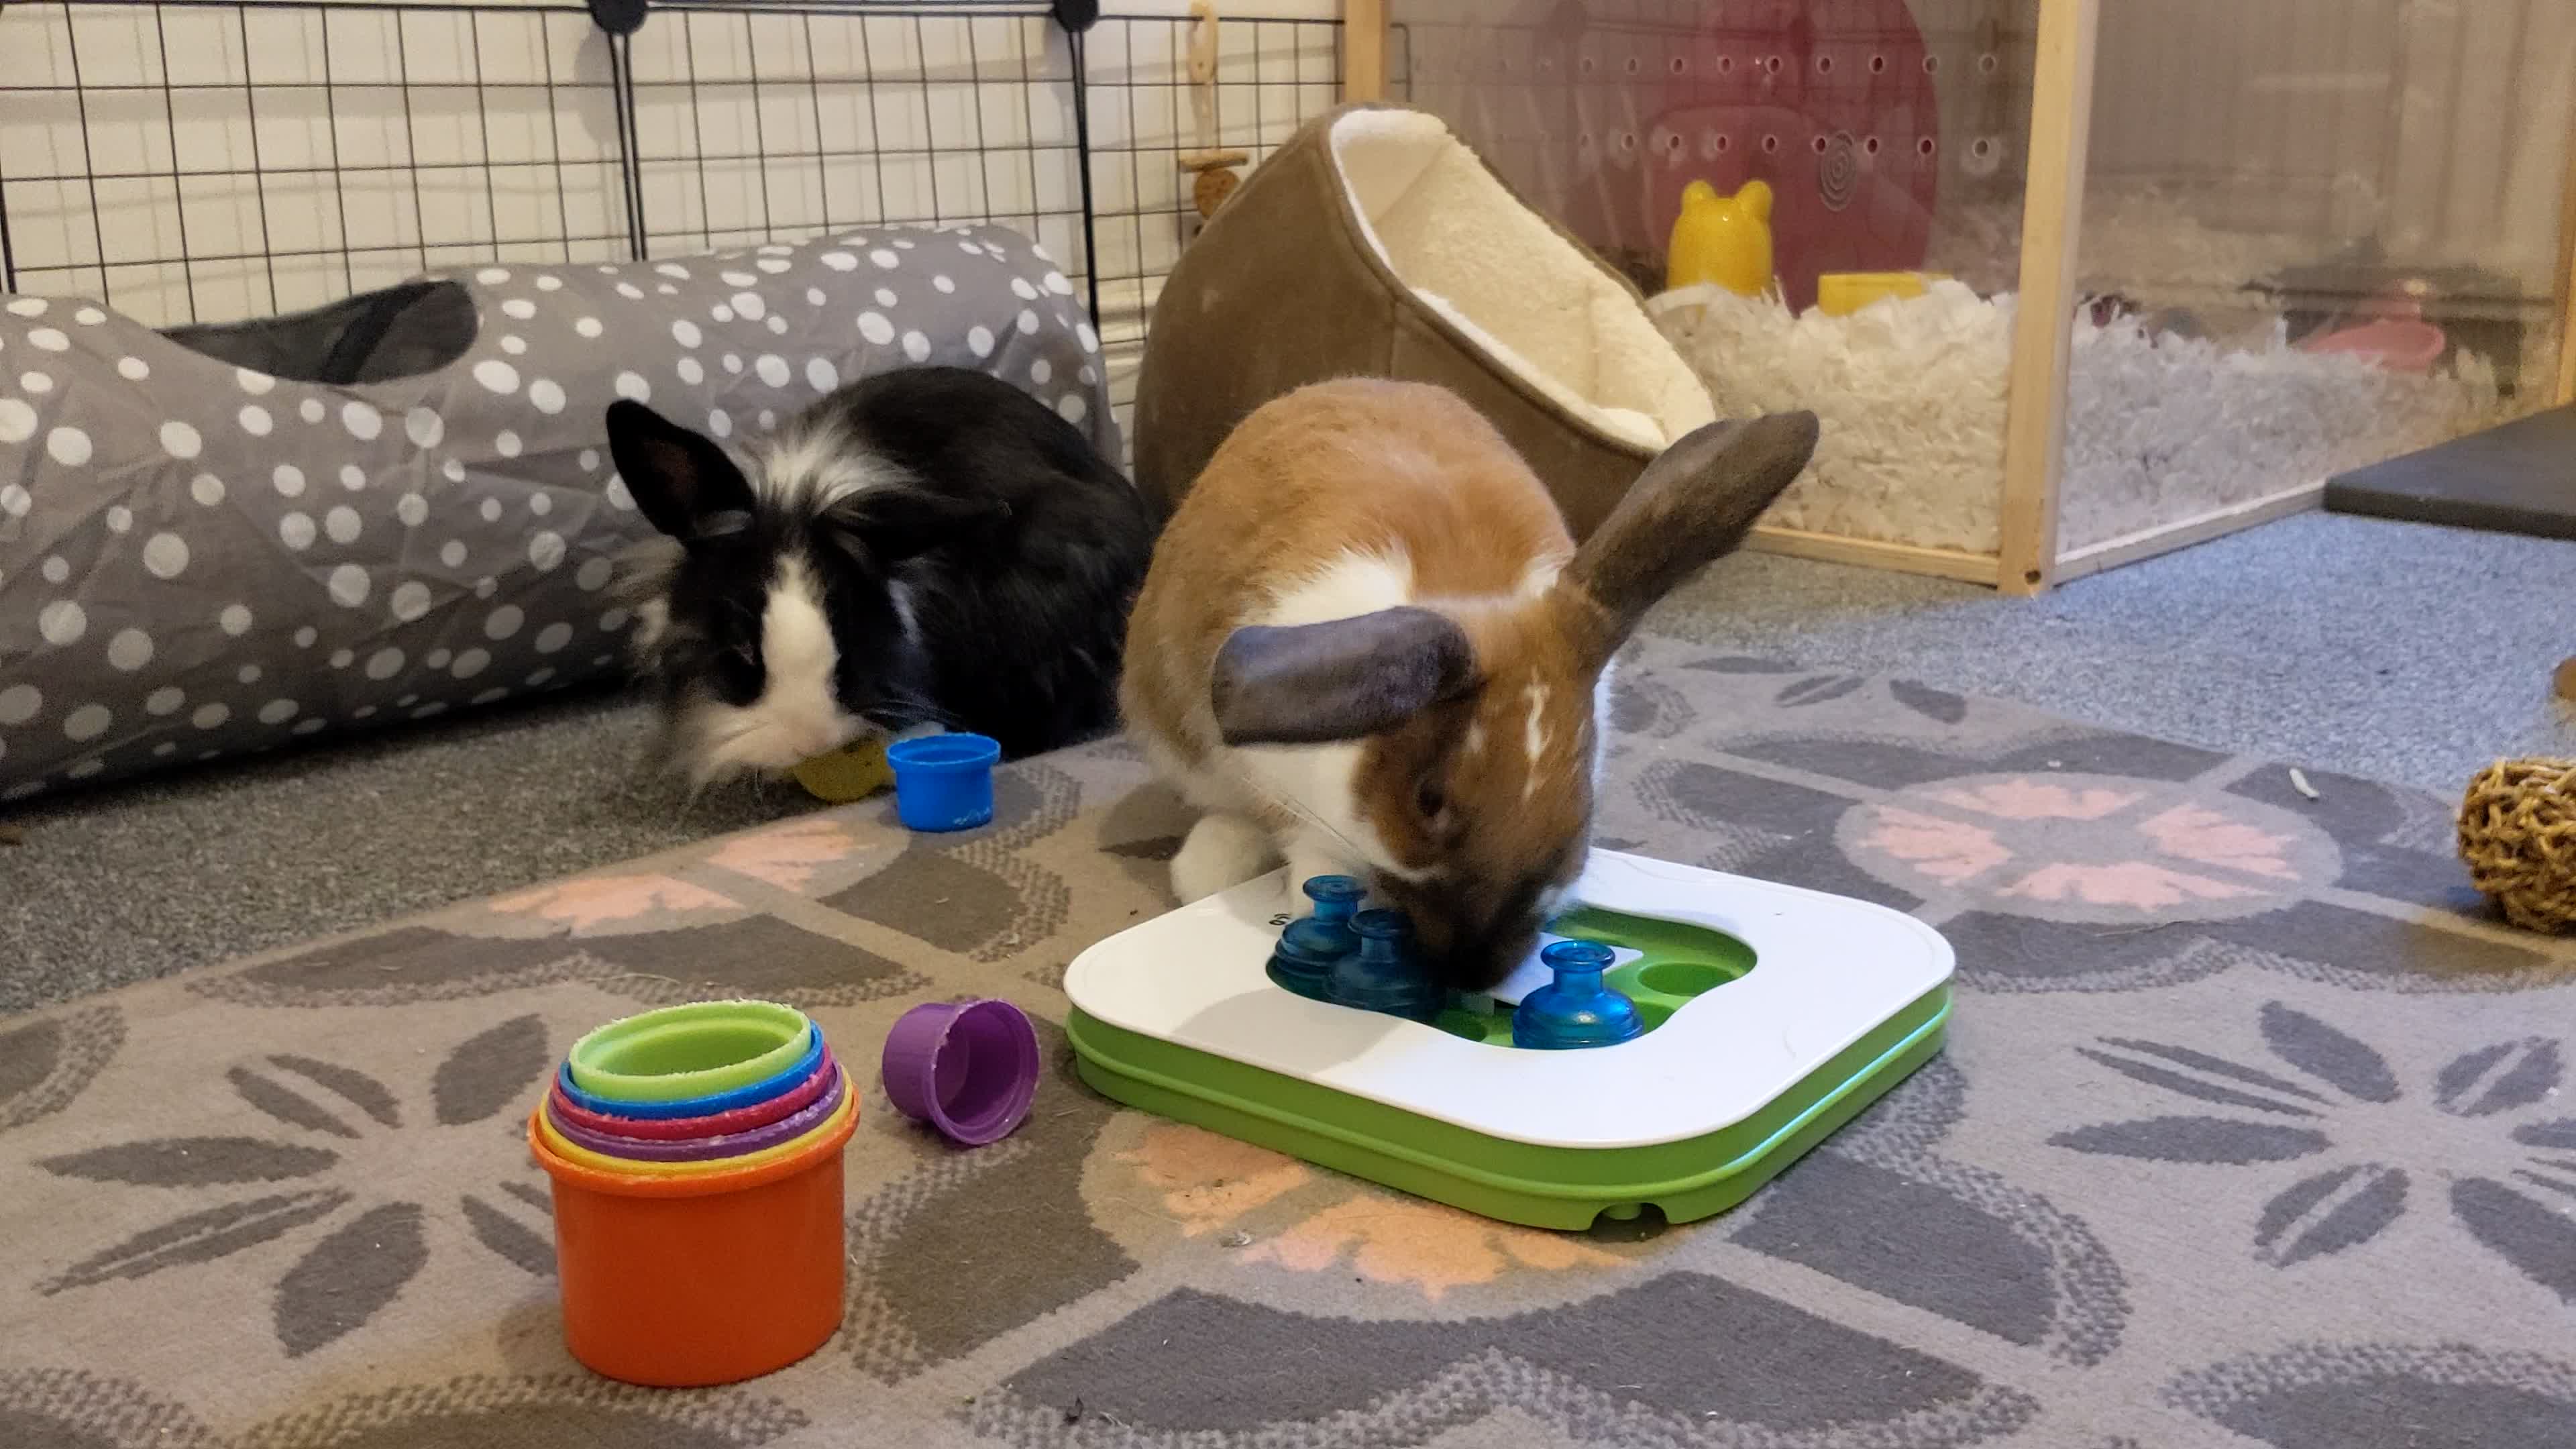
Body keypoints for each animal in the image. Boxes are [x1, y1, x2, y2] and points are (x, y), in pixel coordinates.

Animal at [1121, 377, 1817, 991]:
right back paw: (1206, 868)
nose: (1473, 973)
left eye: (1582, 804)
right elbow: (1312, 849)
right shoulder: (1282, 791)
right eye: (1428, 799)